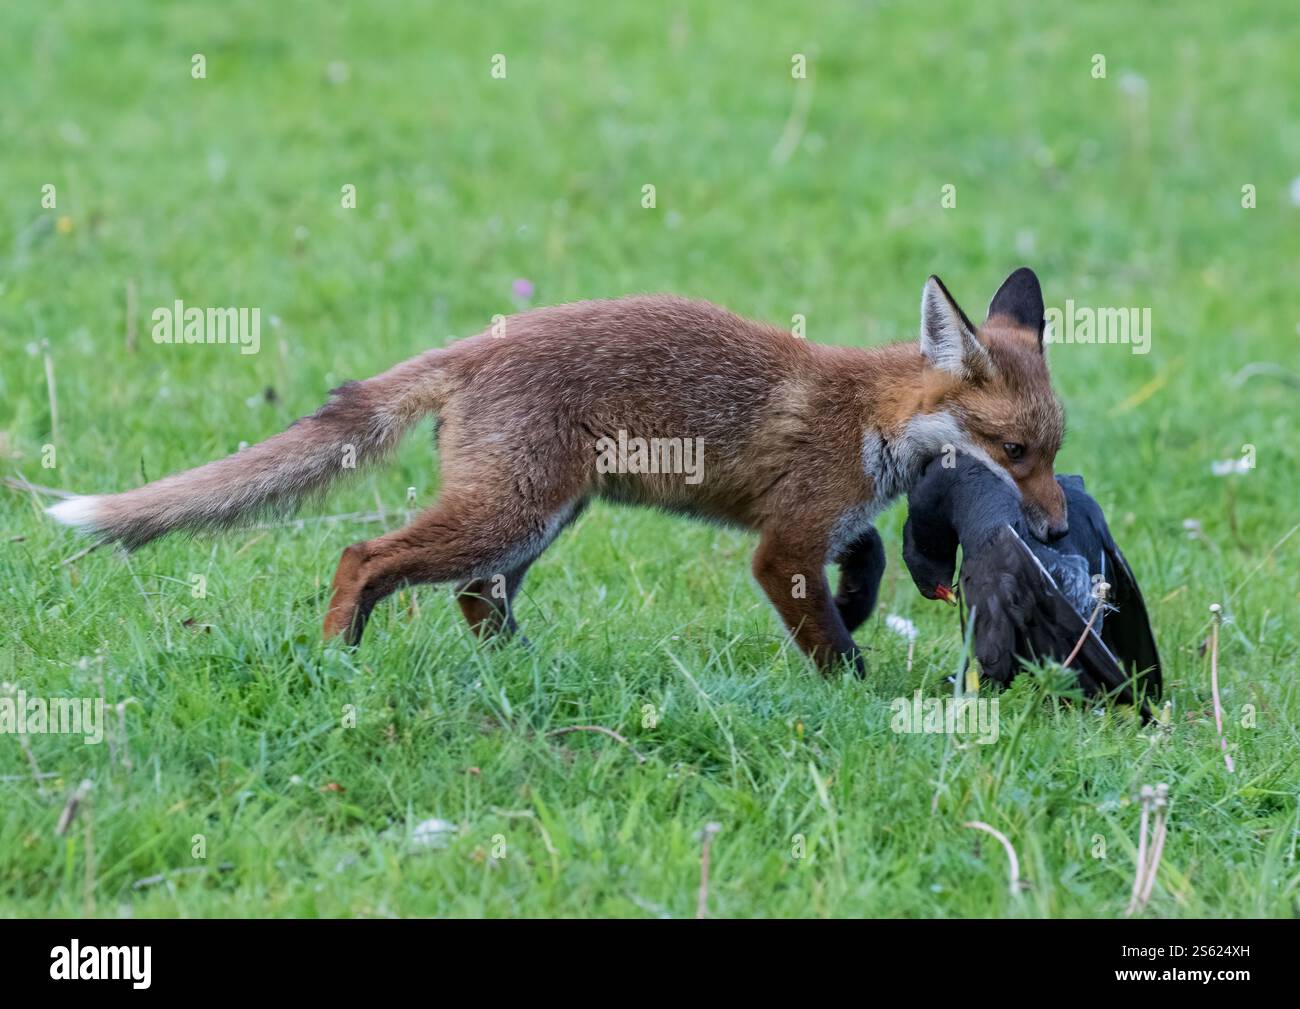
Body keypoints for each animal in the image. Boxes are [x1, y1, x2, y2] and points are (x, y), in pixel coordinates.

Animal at [47, 267, 1066, 675]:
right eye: (1016, 453)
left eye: (1056, 452)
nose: (1057, 529)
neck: (872, 418)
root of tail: (482, 342)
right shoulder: (781, 543)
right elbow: (828, 635)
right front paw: (855, 689)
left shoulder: (824, 526)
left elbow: (864, 562)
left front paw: (856, 600)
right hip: (511, 511)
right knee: (365, 557)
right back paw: (336, 663)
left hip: (542, 516)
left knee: (473, 598)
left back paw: (530, 672)